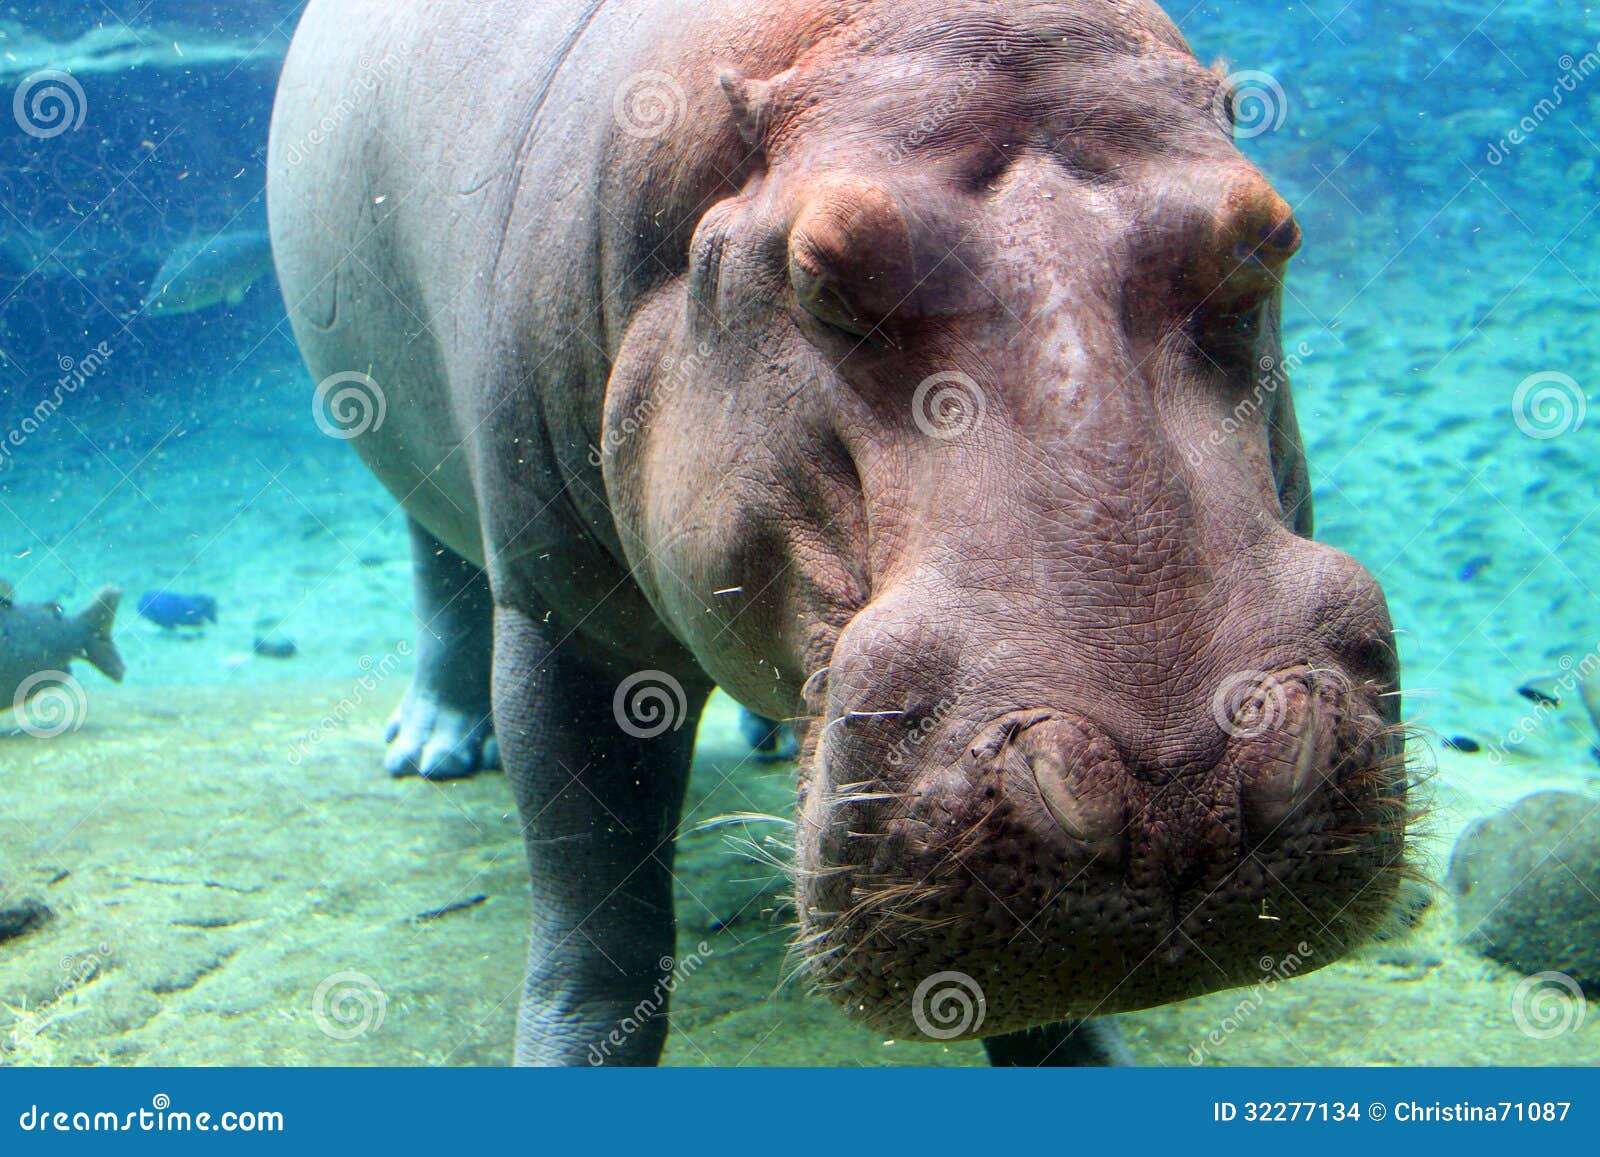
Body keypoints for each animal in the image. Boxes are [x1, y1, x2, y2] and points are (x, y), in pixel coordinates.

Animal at [268, 0, 1409, 1066]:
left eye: (1269, 234)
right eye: (823, 267)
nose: (1177, 791)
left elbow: (1049, 1007)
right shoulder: (567, 619)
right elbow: (600, 925)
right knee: (438, 563)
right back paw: (434, 745)